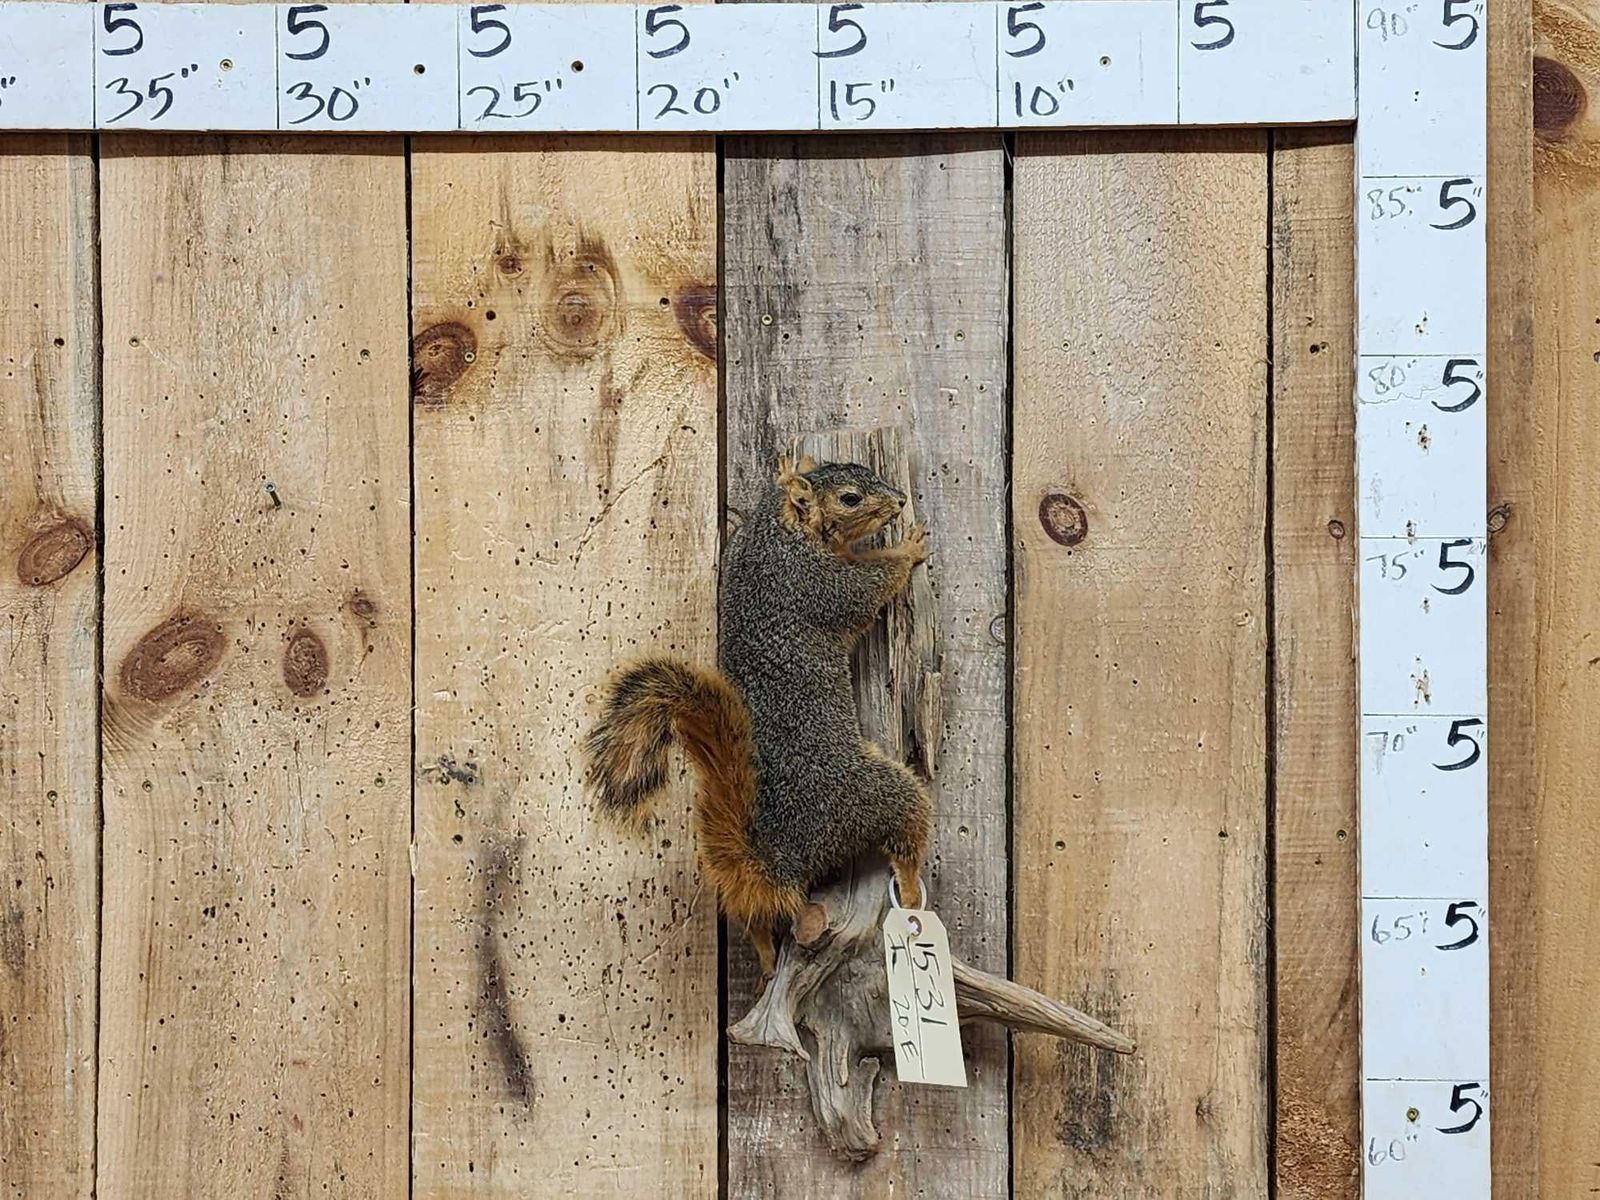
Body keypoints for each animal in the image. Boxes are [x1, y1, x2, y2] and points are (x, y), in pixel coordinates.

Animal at [583, 454, 934, 974]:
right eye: (850, 497)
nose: (900, 500)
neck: (778, 529)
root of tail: (779, 857)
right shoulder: (812, 582)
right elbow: (864, 589)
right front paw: (908, 549)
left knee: (756, 914)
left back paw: (767, 954)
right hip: (875, 793)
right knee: (906, 832)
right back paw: (909, 890)